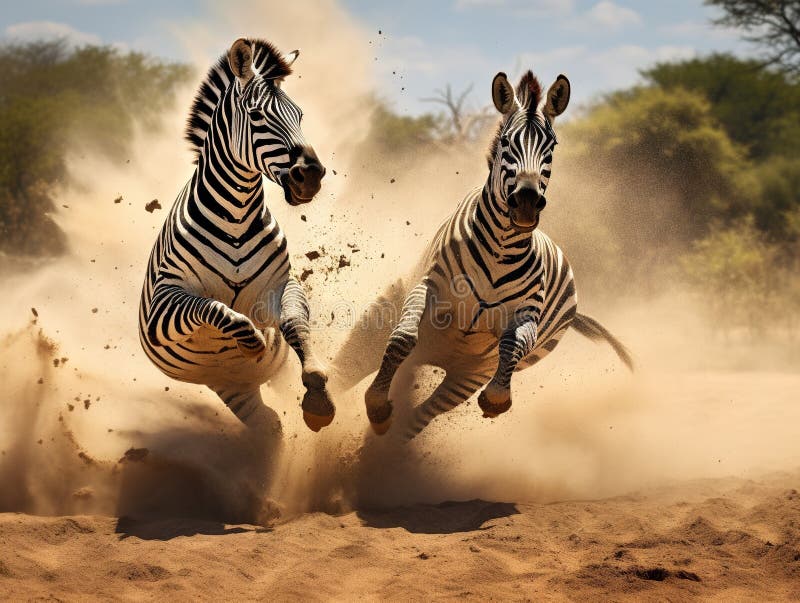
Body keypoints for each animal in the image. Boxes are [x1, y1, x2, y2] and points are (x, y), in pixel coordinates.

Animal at [139, 38, 335, 437]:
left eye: (300, 116)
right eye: (257, 115)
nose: (311, 175)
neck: (236, 219)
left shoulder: (279, 287)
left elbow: (295, 324)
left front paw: (318, 393)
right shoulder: (163, 307)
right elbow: (213, 307)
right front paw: (250, 339)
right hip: (230, 385)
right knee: (269, 424)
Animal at [333, 69, 632, 441]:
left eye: (551, 147)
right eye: (506, 142)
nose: (526, 202)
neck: (501, 248)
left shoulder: (526, 317)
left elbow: (510, 348)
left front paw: (497, 398)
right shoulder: (427, 287)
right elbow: (402, 339)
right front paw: (376, 403)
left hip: (467, 375)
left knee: (418, 418)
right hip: (388, 309)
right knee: (351, 365)